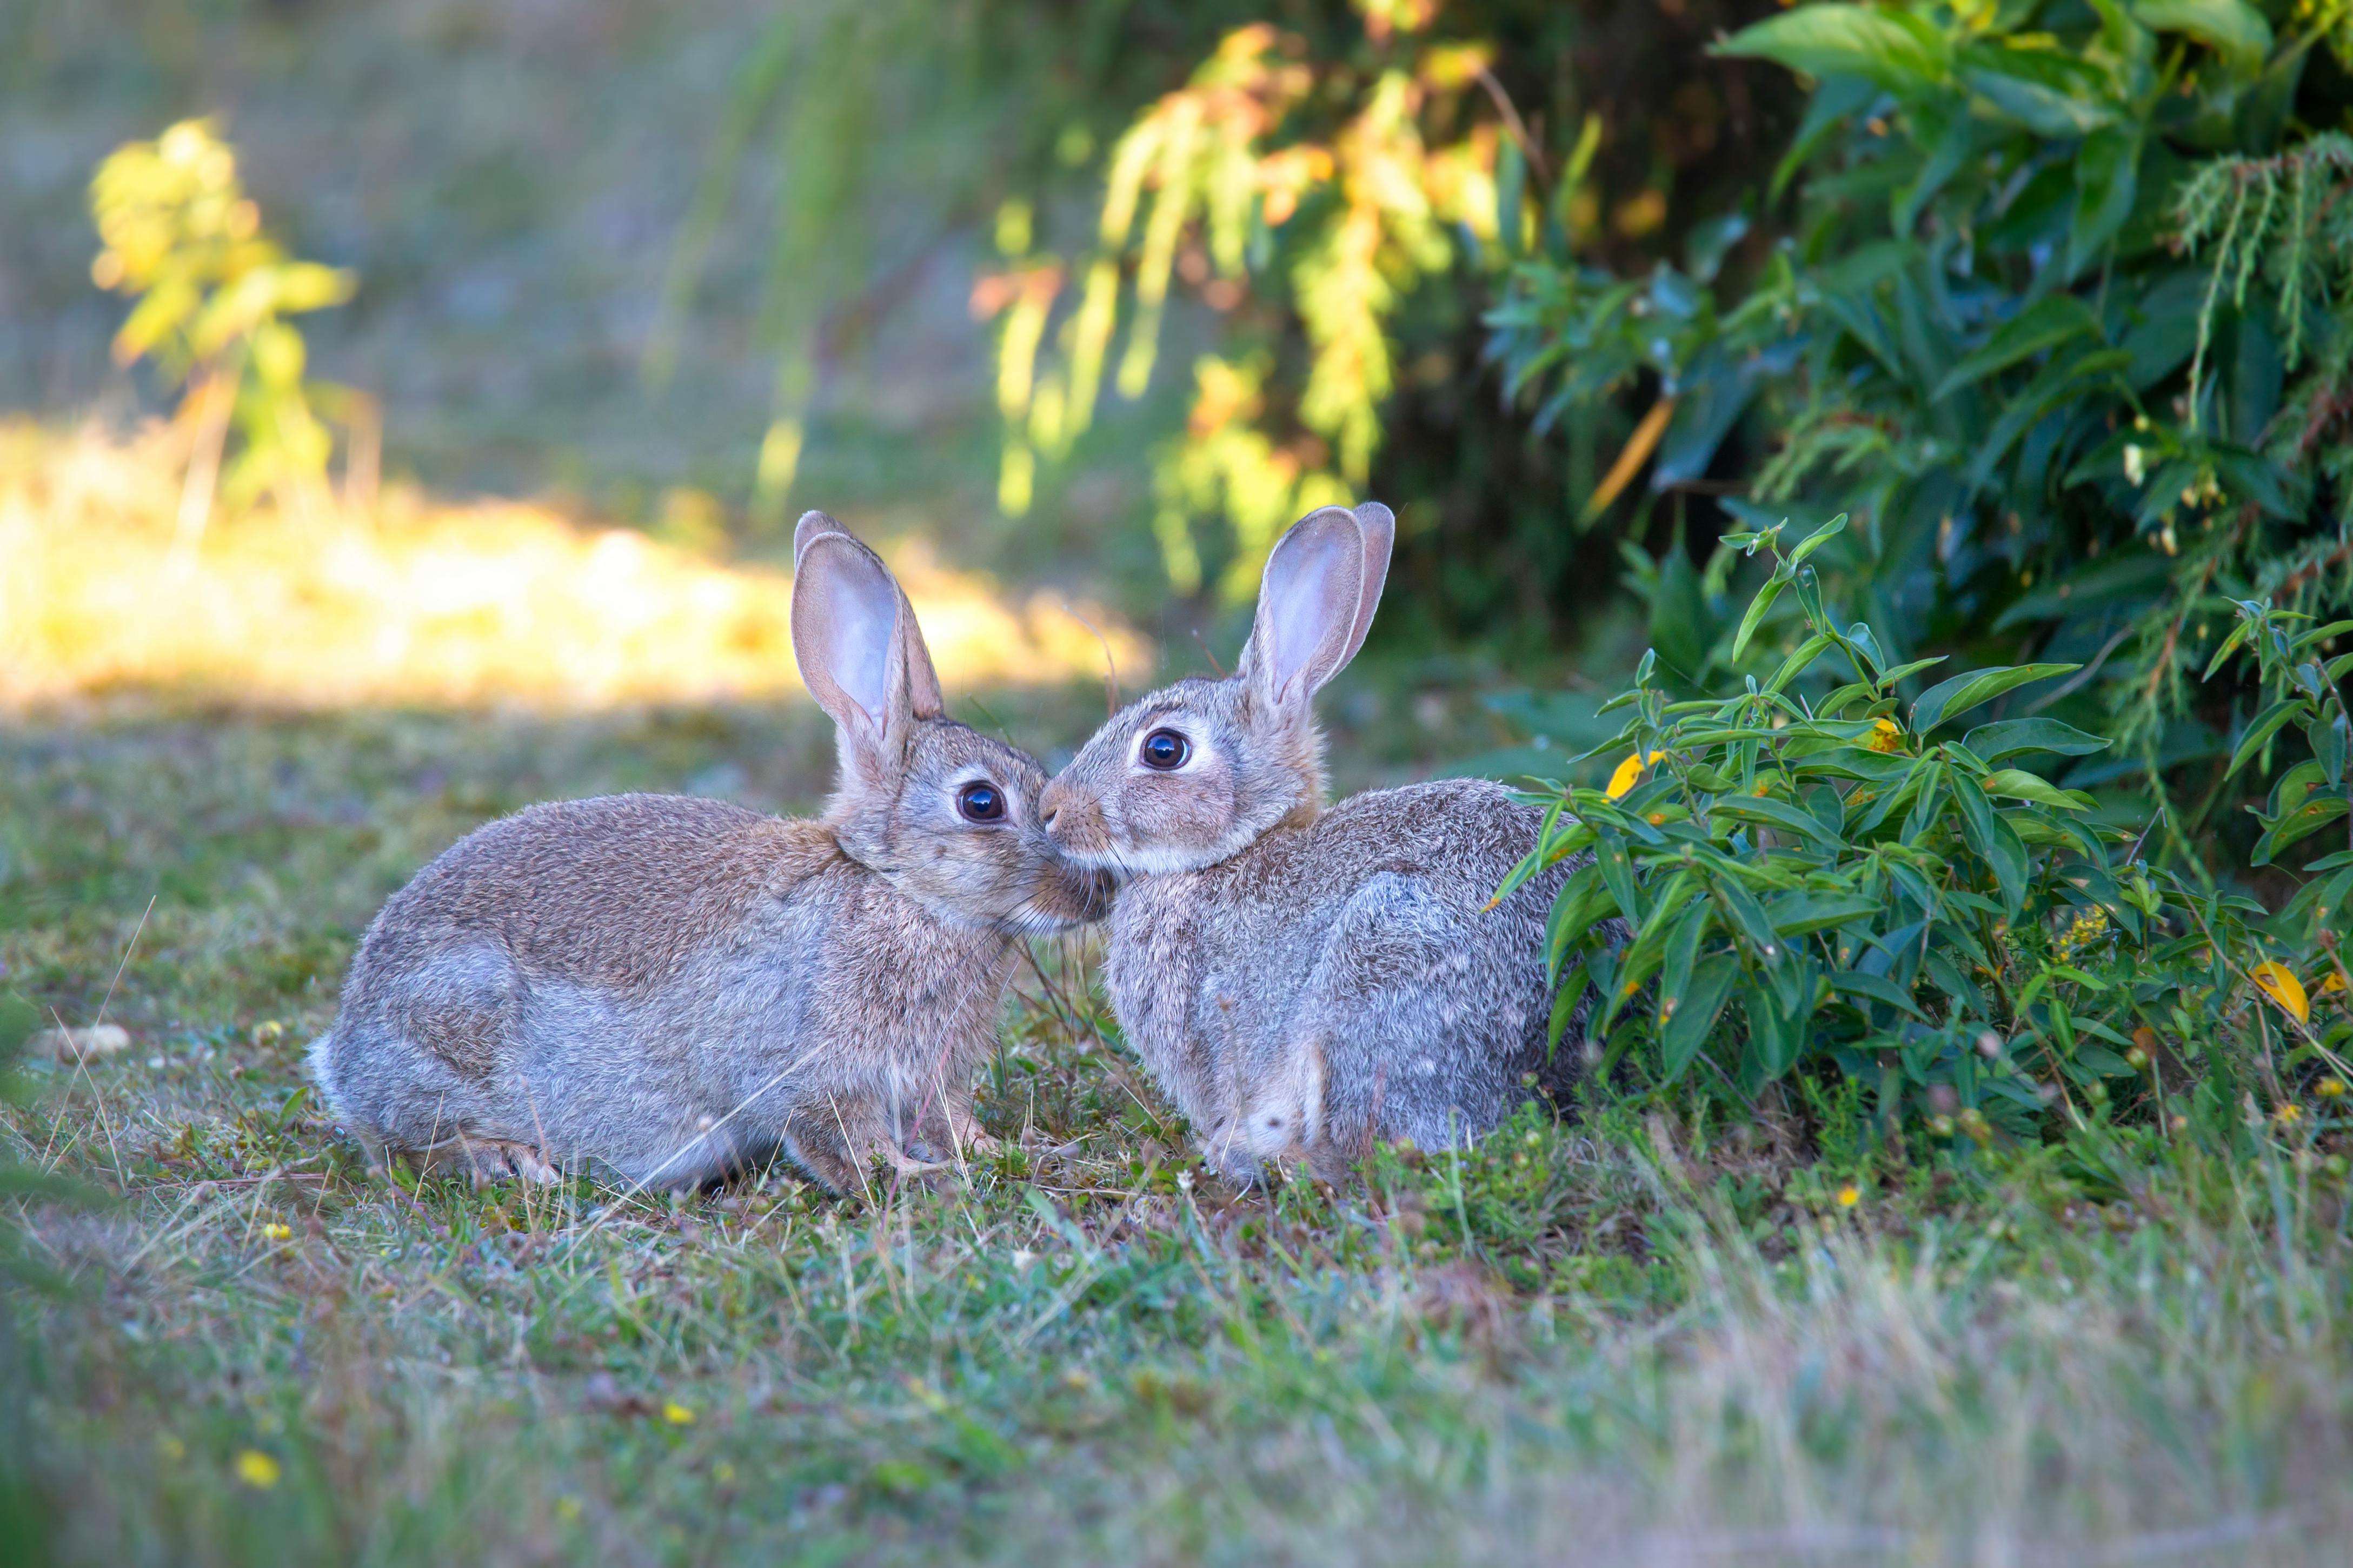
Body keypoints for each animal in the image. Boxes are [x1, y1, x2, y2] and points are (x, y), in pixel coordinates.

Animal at [309, 512, 1110, 1194]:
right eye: (981, 803)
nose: (1096, 892)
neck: (897, 891)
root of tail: (344, 1053)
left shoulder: (930, 1079)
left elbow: (950, 1122)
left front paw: (1009, 1151)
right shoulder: (808, 1068)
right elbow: (842, 1140)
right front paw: (913, 1178)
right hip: (457, 1017)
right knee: (410, 1146)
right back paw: (510, 1160)